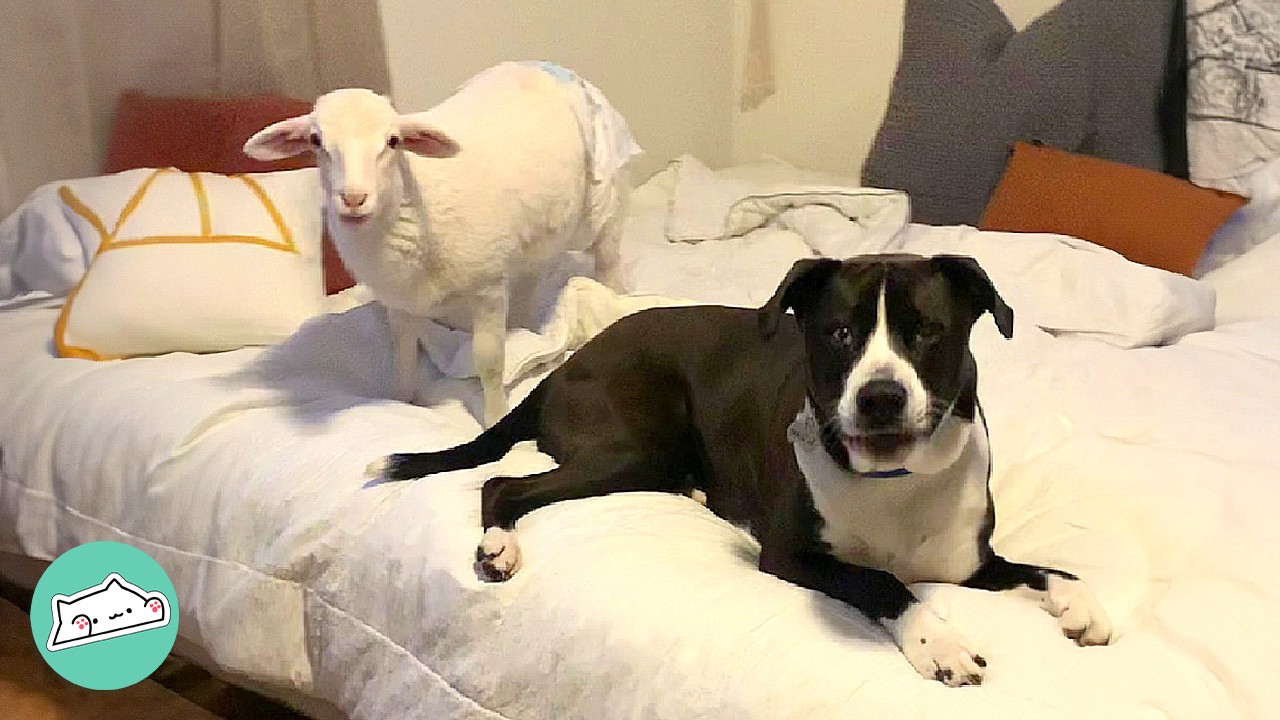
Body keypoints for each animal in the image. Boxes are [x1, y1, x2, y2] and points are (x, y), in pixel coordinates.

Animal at [243, 62, 638, 427]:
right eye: (316, 141)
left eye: (393, 141)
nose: (353, 199)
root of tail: (544, 66)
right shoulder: (399, 301)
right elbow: (403, 355)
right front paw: (405, 402)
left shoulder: (487, 287)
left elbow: (489, 360)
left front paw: (494, 417)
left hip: (602, 205)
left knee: (608, 257)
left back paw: (616, 299)